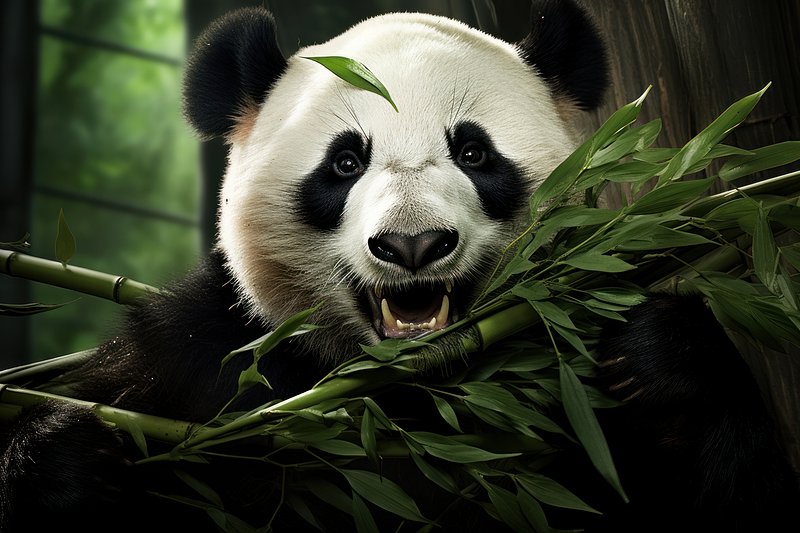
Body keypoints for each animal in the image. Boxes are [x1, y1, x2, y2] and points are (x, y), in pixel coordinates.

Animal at [1, 1, 797, 531]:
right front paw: (65, 459)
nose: (413, 246)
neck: (413, 395)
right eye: (346, 162)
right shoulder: (200, 367)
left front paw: (660, 353)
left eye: (473, 152)